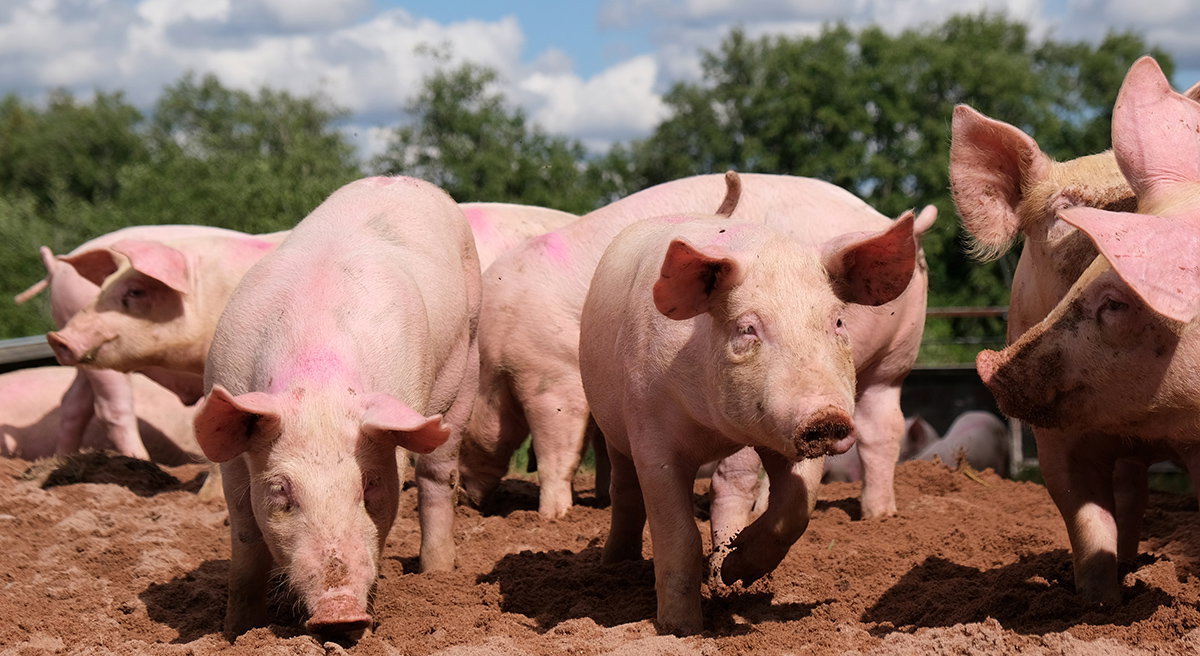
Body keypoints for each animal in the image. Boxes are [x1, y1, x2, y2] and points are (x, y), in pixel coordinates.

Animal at [193, 175, 480, 637]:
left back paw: (436, 574)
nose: (339, 611)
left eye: (369, 485)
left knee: (438, 475)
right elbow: (246, 541)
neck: (318, 382)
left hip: (468, 362)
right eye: (281, 490)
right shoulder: (233, 447)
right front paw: (238, 632)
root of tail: (399, 177)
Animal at [460, 172, 935, 521]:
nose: (468, 500)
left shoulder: (551, 374)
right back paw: (879, 515)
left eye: (459, 432)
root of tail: (885, 221)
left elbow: (556, 446)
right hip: (892, 362)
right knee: (883, 429)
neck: (494, 363)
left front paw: (553, 516)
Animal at [578, 188, 920, 634]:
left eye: (838, 322)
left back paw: (722, 565)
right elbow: (677, 534)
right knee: (625, 487)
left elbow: (794, 511)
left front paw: (734, 574)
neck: (711, 426)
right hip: (613, 425)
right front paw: (681, 629)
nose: (825, 415)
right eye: (747, 328)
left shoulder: (788, 439)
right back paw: (616, 564)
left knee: (729, 492)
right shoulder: (650, 432)